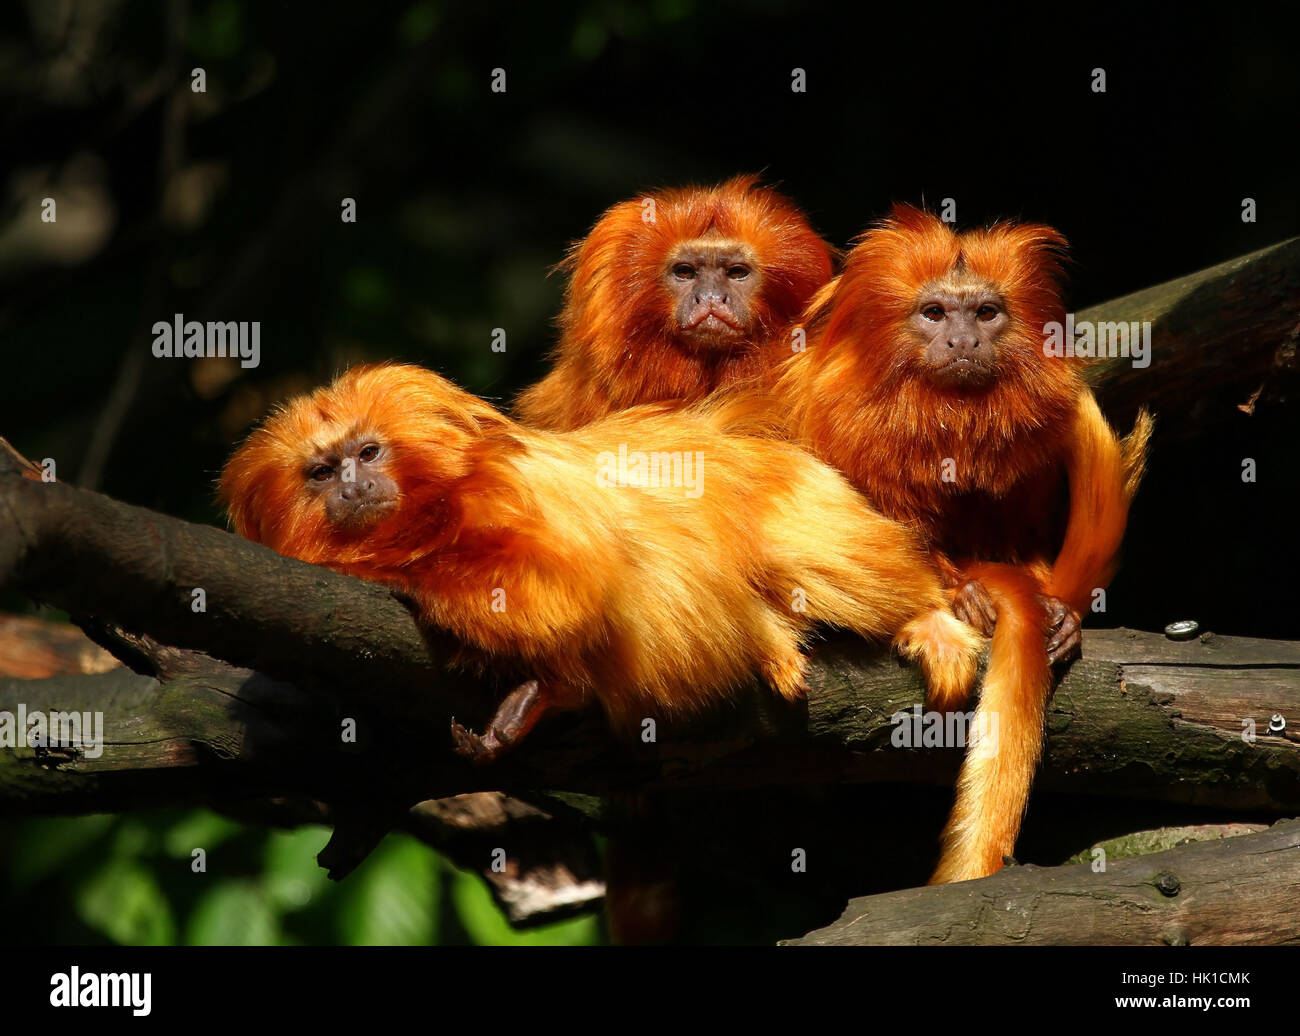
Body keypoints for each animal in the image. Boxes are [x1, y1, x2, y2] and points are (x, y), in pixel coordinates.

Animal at [220, 363, 982, 764]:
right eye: (320, 472)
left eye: (369, 452)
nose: (351, 486)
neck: (433, 506)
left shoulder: (516, 494)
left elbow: (573, 585)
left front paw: (383, 570)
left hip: (806, 505)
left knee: (823, 560)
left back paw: (931, 618)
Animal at [772, 205, 1153, 883]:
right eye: (934, 313)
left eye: (984, 313)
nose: (963, 341)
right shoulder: (820, 415)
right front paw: (962, 593)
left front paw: (1057, 613)